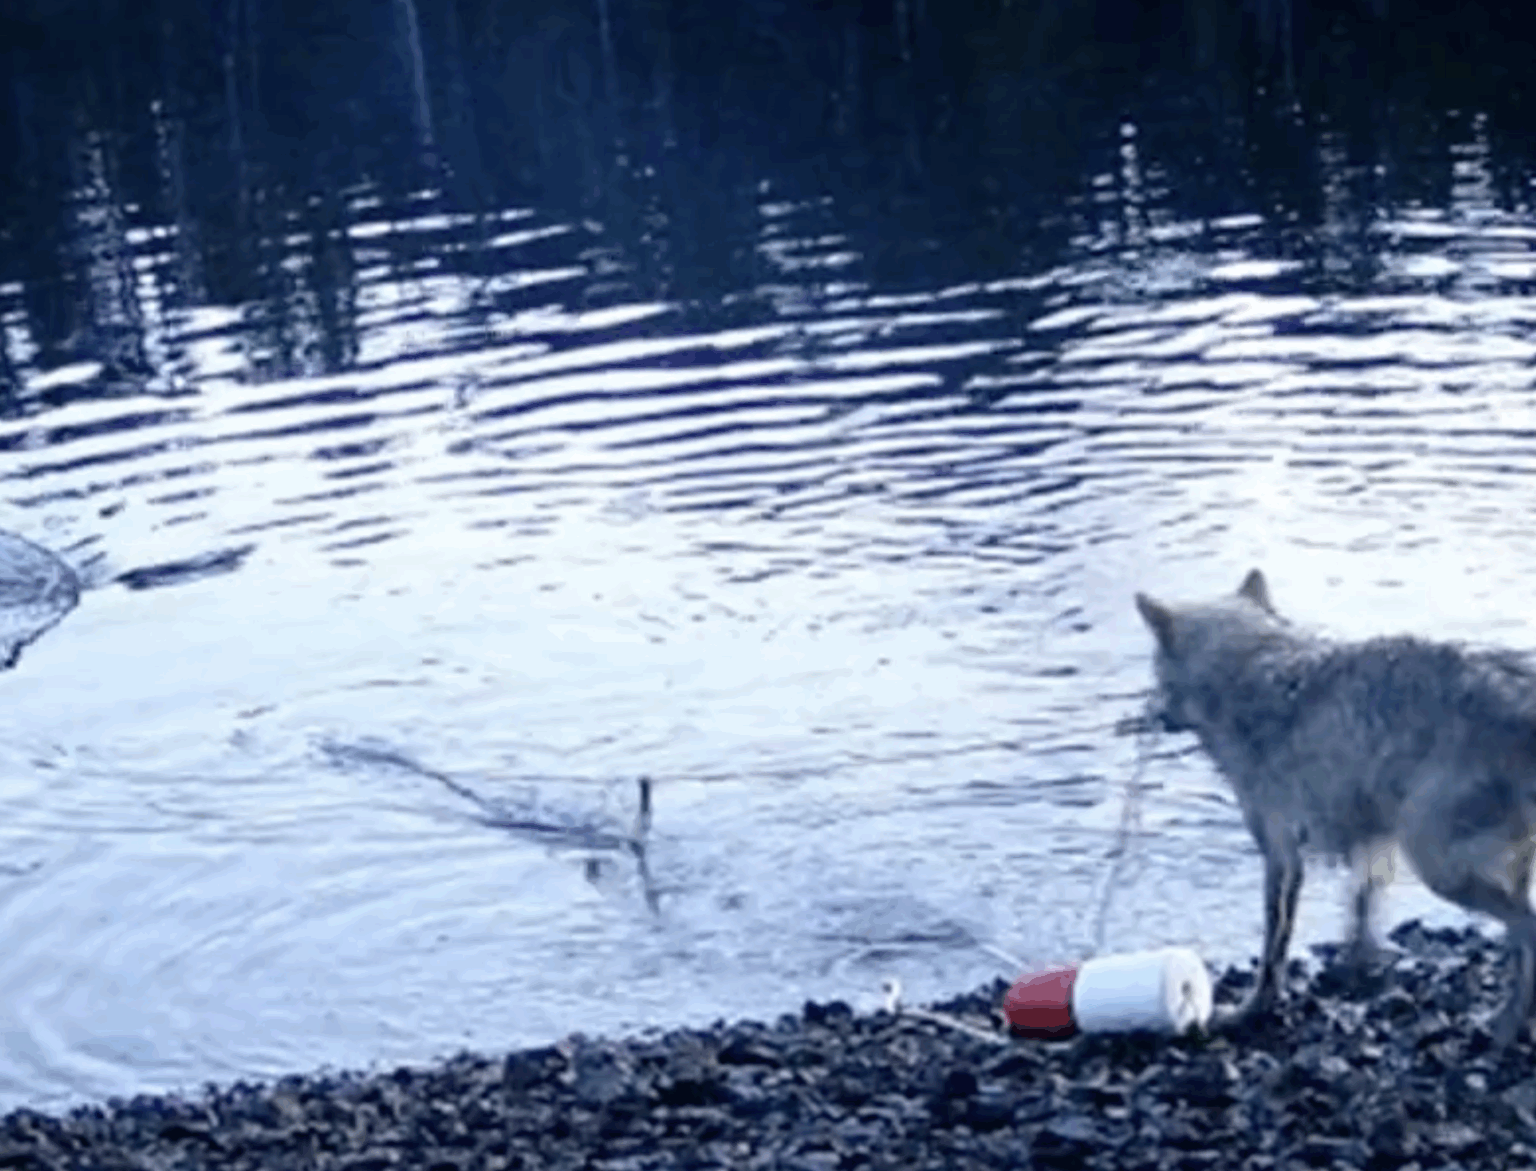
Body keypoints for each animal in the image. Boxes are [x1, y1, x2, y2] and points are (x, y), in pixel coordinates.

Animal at [1135, 569, 1536, 1047]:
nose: (1147, 716)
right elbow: (1360, 913)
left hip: (1437, 865)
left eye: (1155, 672)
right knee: (1519, 942)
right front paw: (1358, 969)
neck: (1250, 671)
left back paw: (1506, 1027)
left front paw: (1255, 1007)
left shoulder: (1281, 852)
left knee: (1527, 931)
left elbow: (1274, 944)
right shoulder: (1371, 842)